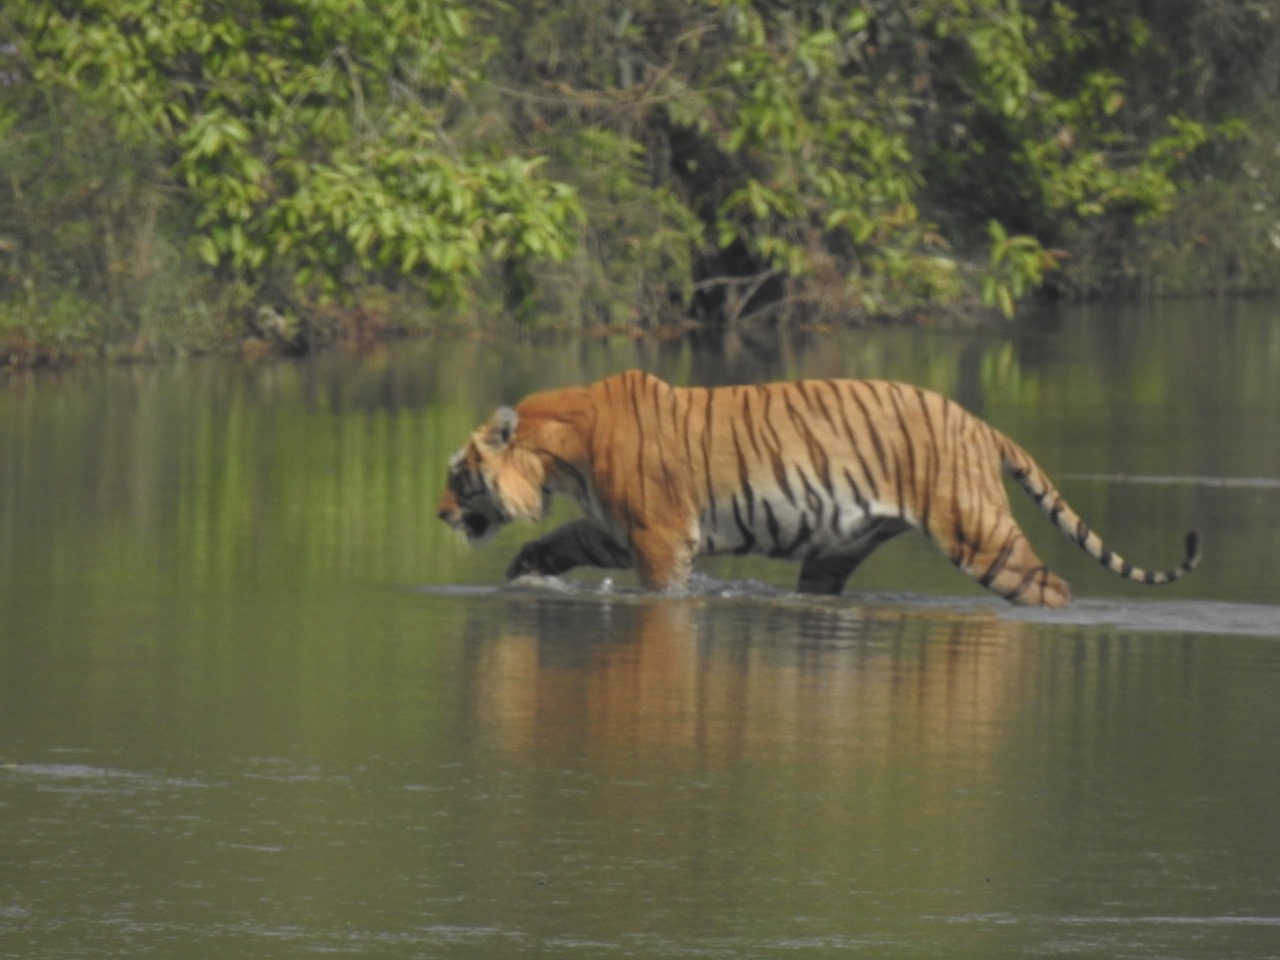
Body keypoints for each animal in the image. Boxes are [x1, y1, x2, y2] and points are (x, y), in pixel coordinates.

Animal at [436, 370, 1200, 607]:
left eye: (457, 475)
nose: (439, 513)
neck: (558, 459)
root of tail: (980, 424)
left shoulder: (658, 535)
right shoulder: (614, 529)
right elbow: (557, 542)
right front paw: (524, 573)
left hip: (980, 534)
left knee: (1053, 587)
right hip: (836, 549)